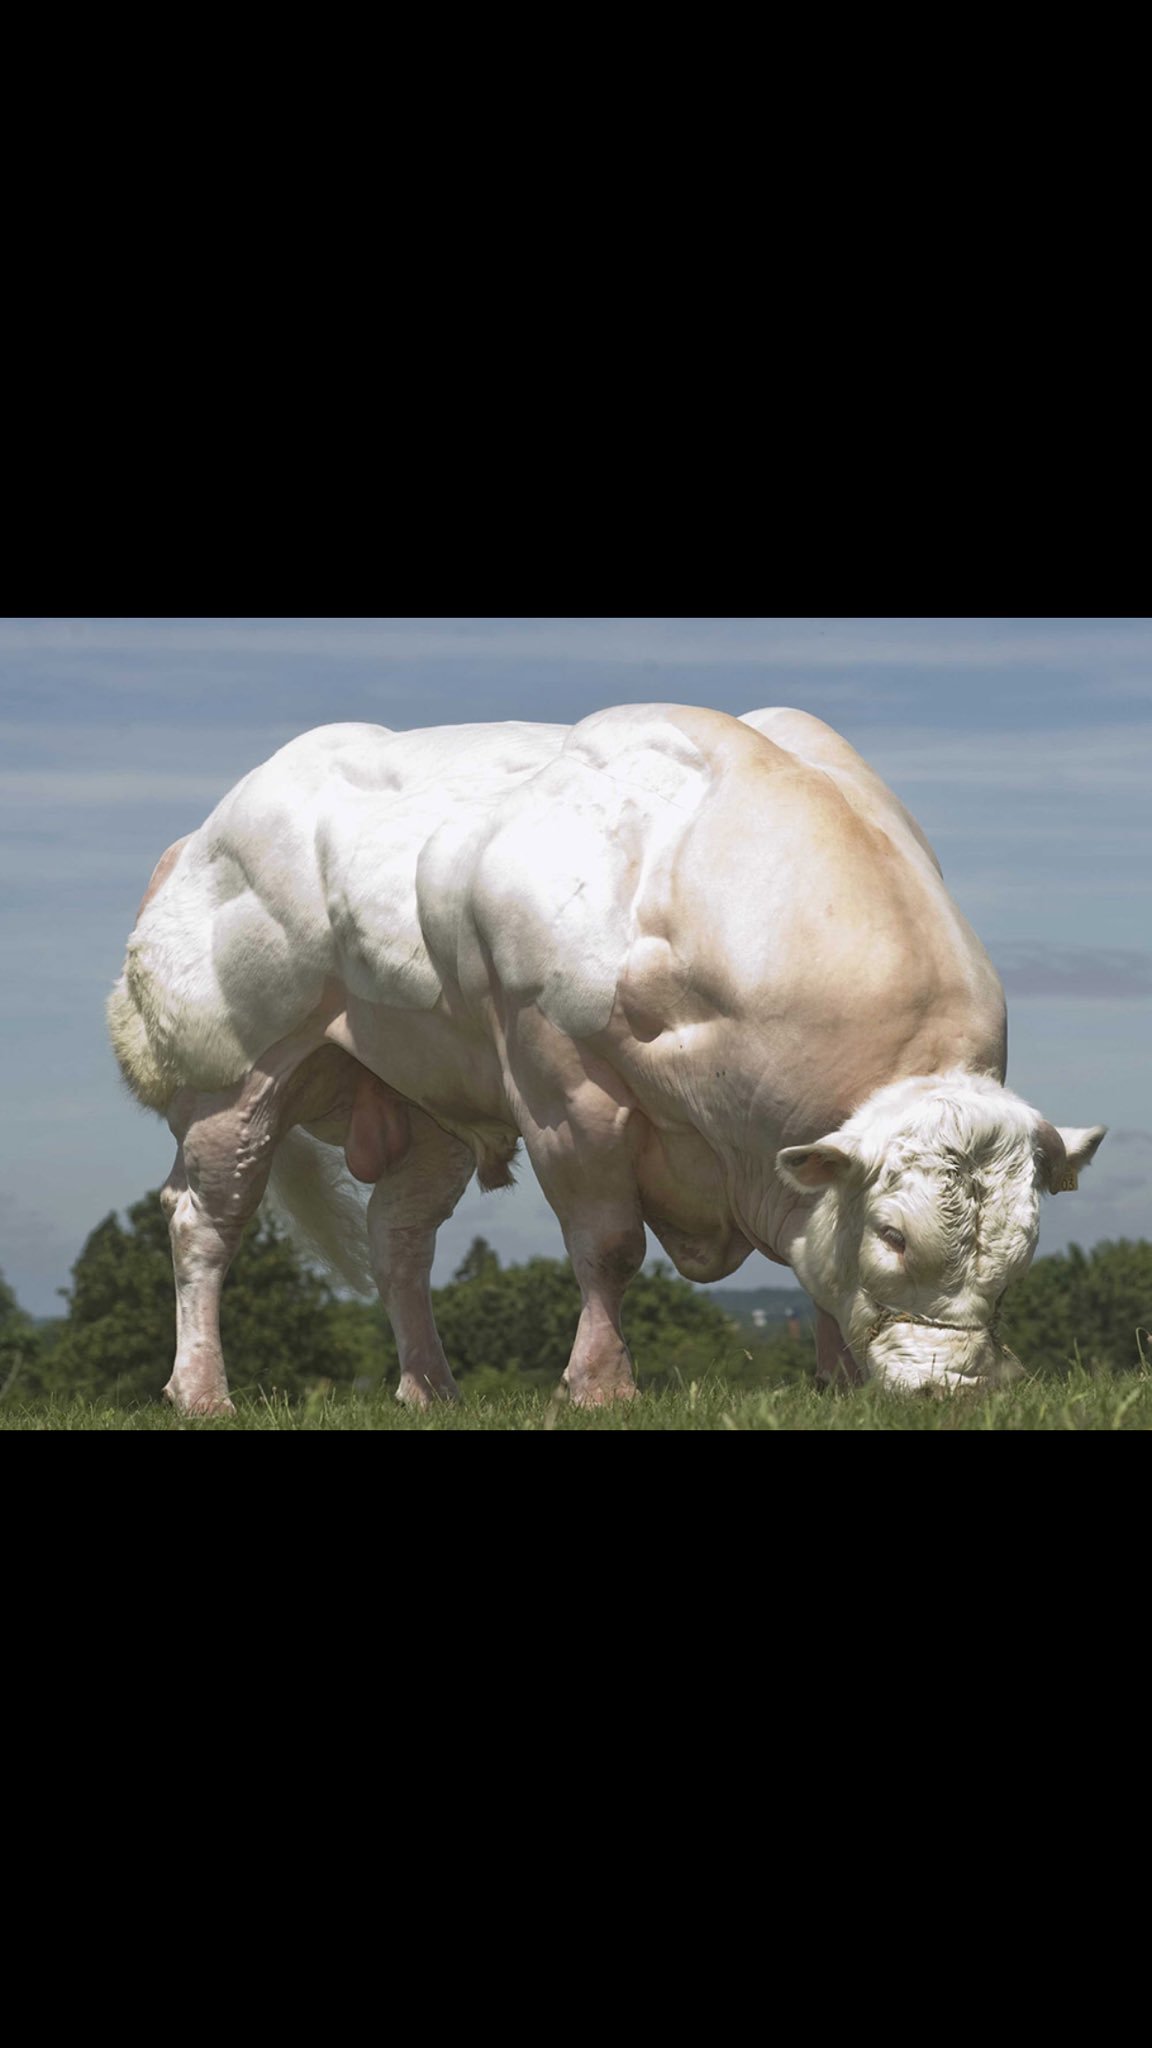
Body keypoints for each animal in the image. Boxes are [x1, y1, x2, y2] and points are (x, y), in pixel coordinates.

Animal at [106, 704, 1106, 1414]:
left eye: (1023, 1251)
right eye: (895, 1234)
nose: (951, 1388)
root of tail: (202, 837)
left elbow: (819, 1265)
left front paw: (840, 1383)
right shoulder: (562, 1085)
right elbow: (610, 1245)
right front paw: (599, 1384)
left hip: (428, 1105)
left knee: (399, 1238)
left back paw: (430, 1389)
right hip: (231, 1079)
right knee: (205, 1222)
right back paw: (202, 1392)